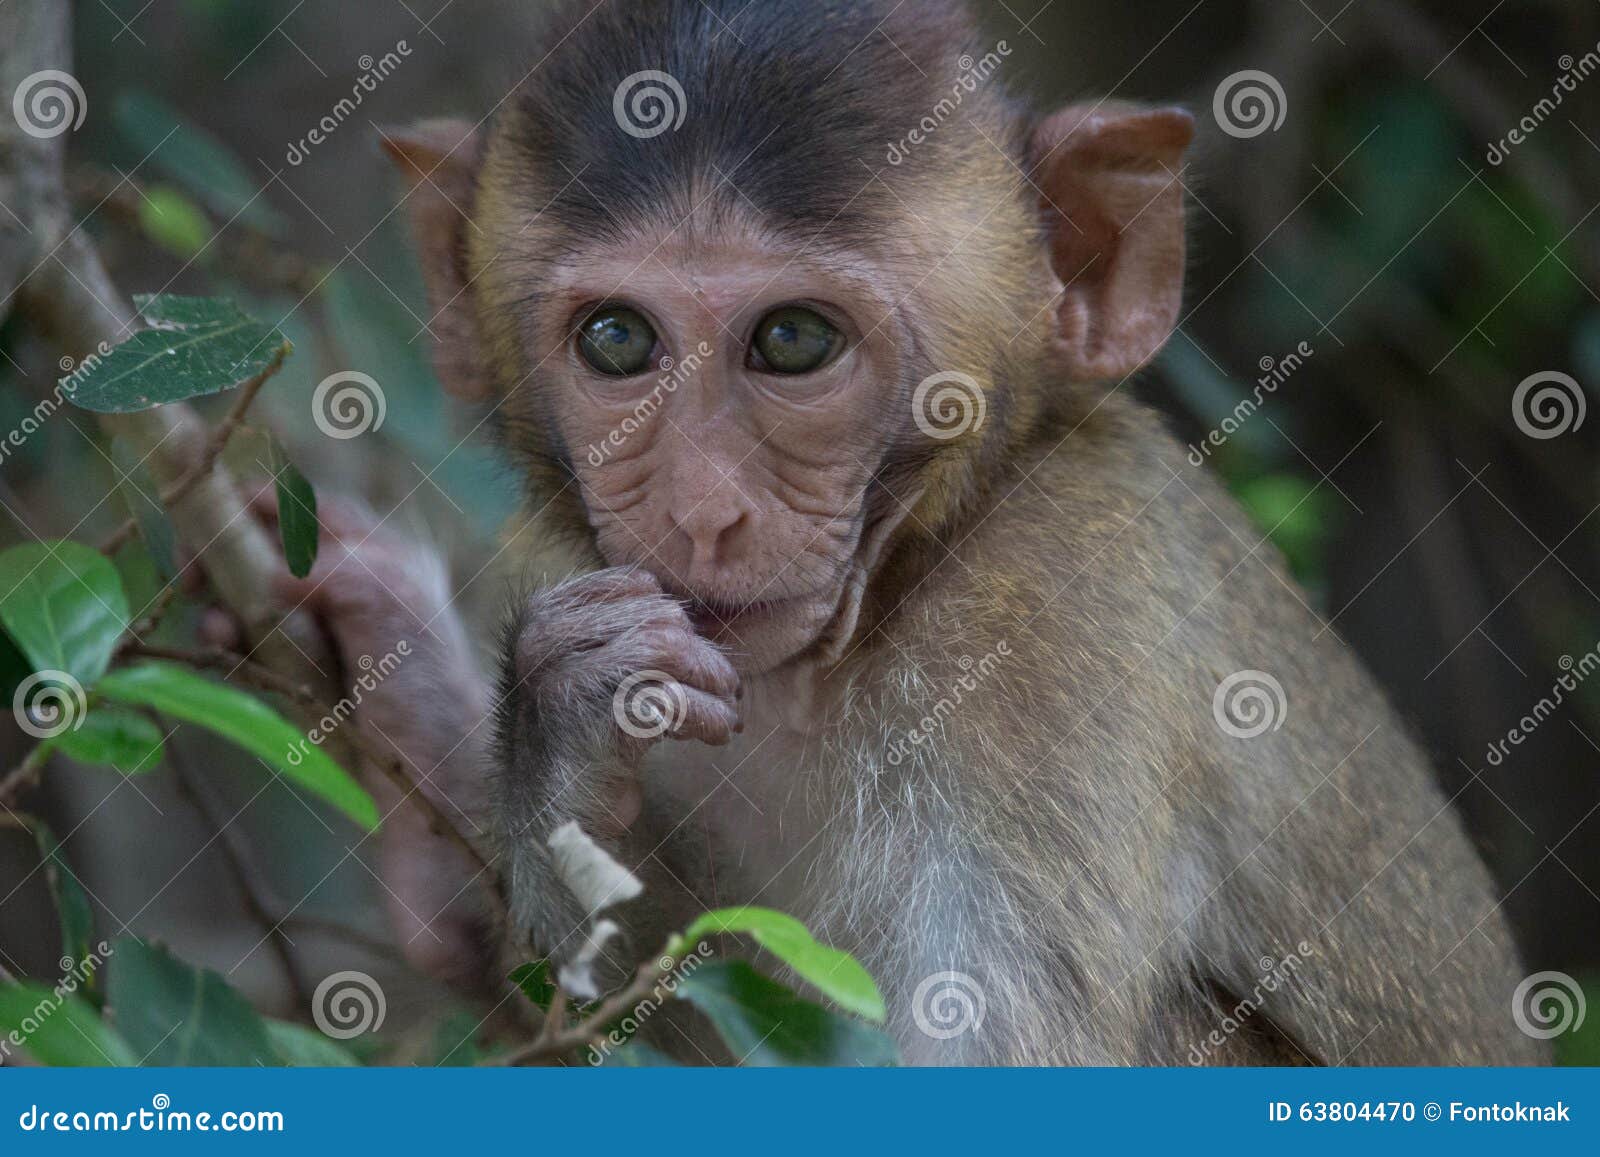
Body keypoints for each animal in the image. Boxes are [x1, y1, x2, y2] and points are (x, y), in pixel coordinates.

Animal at [270, 0, 1548, 1064]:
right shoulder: (557, 549)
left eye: (792, 341)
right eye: (618, 342)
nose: (699, 508)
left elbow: (994, 1053)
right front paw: (487, 702)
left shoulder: (1053, 623)